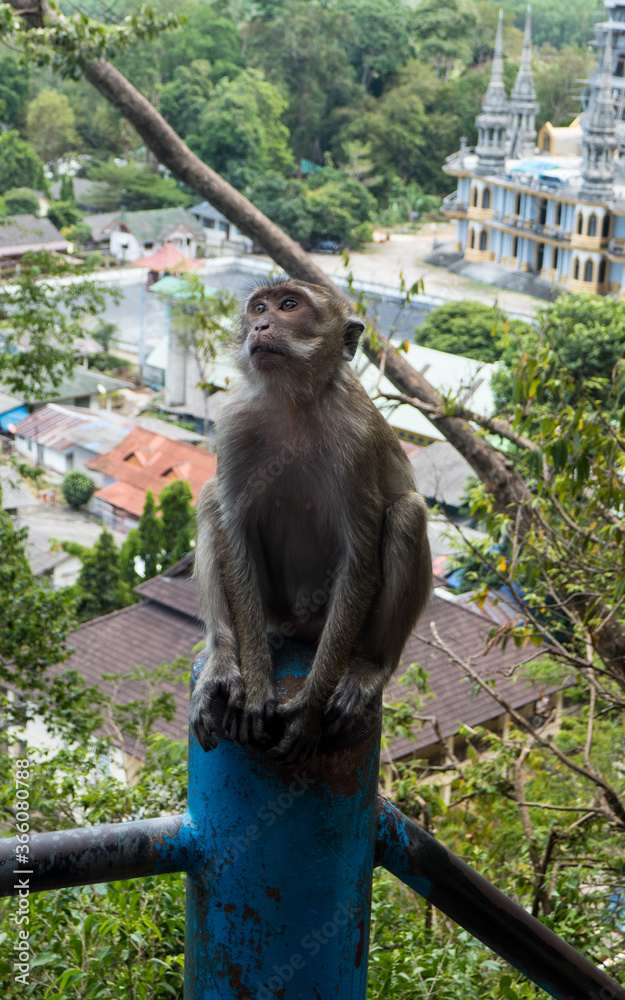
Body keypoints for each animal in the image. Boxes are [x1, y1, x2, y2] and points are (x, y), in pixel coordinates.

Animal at [189, 278, 432, 765]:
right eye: (258, 308)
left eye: (288, 305)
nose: (261, 326)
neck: (293, 403)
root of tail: (299, 628)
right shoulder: (233, 424)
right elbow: (236, 539)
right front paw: (256, 685)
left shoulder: (356, 441)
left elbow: (360, 561)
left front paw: (308, 712)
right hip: (274, 609)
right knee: (211, 501)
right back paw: (223, 660)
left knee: (407, 514)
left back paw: (370, 666)